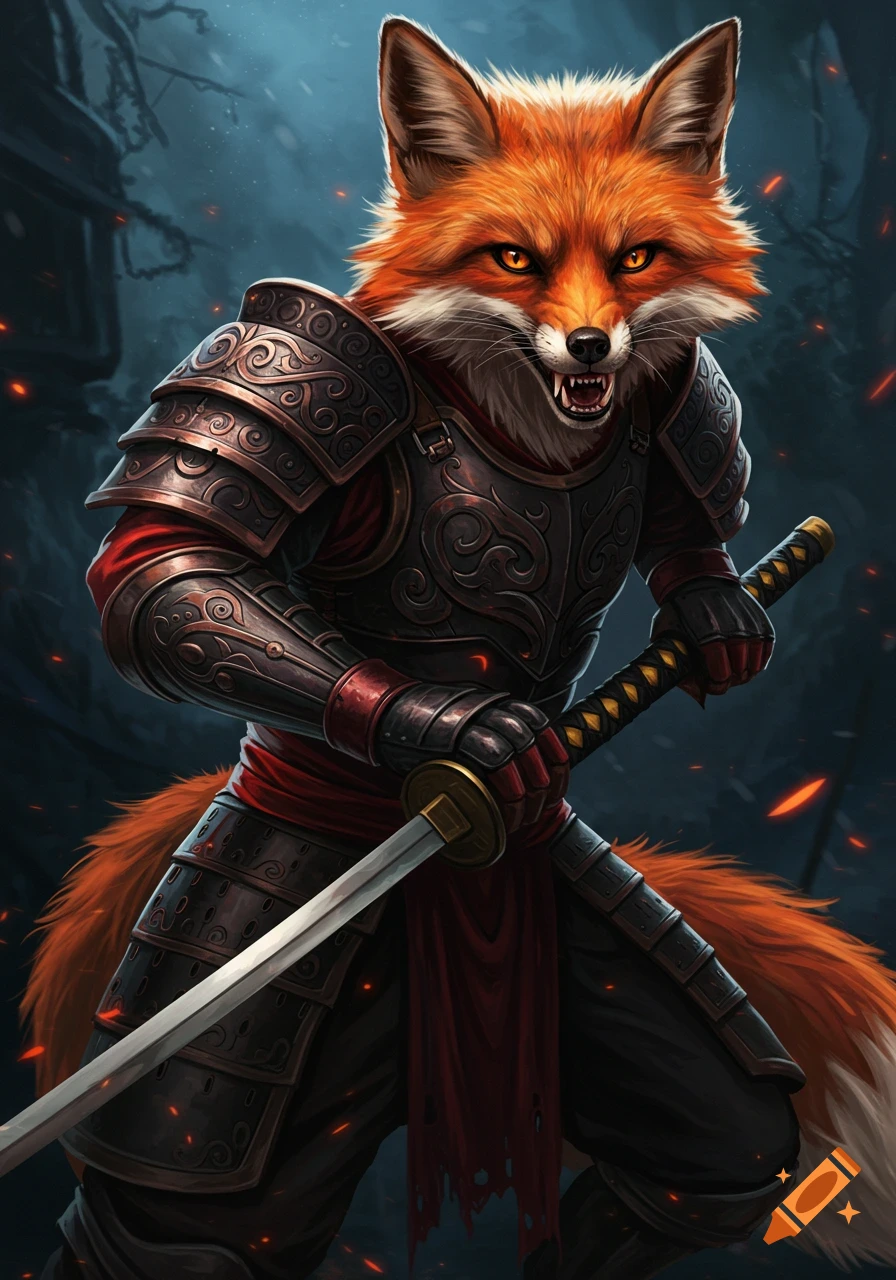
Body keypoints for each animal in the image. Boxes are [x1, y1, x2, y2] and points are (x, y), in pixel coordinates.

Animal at [20, 15, 896, 1275]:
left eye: (637, 258)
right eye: (510, 259)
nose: (590, 345)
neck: (519, 398)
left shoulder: (671, 386)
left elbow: (690, 501)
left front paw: (717, 613)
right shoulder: (306, 366)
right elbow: (170, 564)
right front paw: (465, 729)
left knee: (706, 1170)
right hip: (224, 1034)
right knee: (180, 1232)